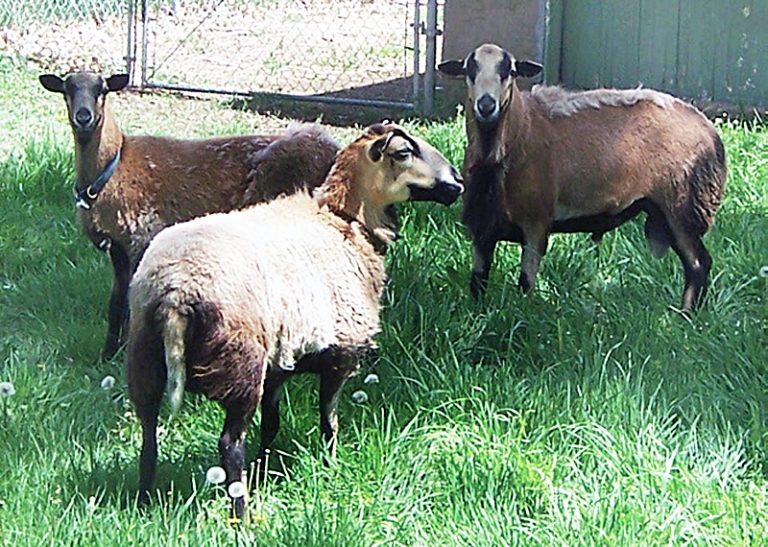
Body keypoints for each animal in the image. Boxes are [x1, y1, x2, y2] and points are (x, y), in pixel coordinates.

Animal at [39, 71, 339, 360]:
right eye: (67, 89)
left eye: (102, 90)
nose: (83, 117)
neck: (112, 169)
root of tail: (332, 149)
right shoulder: (118, 247)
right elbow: (116, 302)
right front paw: (108, 354)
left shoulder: (142, 236)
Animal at [125, 123, 463, 516]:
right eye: (404, 152)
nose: (457, 181)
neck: (344, 222)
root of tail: (175, 292)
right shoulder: (340, 355)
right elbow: (328, 420)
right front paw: (331, 467)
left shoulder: (279, 365)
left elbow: (272, 424)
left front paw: (264, 469)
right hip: (241, 365)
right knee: (229, 444)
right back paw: (241, 512)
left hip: (144, 358)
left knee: (148, 435)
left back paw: (144, 499)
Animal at [438, 43, 726, 313]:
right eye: (469, 70)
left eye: (509, 71)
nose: (486, 106)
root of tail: (710, 131)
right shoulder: (482, 223)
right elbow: (478, 281)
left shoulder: (536, 222)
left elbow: (526, 283)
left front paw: (525, 316)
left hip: (683, 206)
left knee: (698, 264)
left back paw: (686, 318)